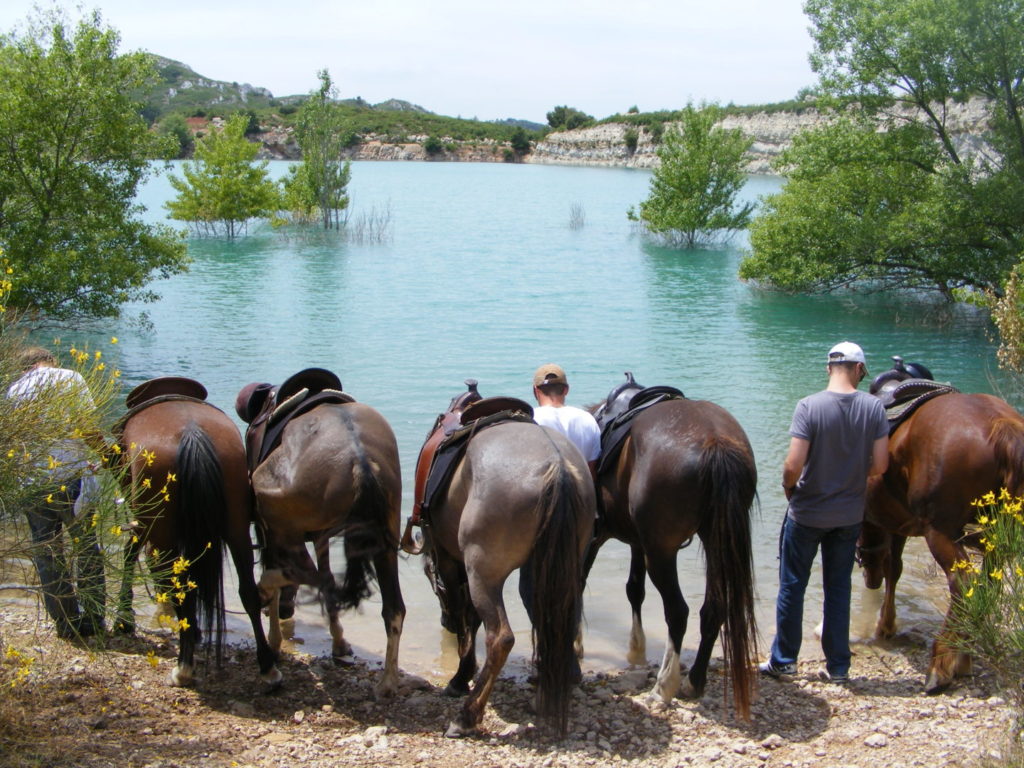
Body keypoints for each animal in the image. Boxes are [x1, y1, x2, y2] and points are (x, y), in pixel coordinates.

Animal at [114, 377, 279, 687]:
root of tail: (192, 434)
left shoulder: (149, 531)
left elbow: (135, 556)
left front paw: (123, 618)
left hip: (162, 536)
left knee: (179, 589)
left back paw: (184, 667)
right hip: (237, 530)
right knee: (248, 593)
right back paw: (267, 667)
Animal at [237, 370, 405, 697]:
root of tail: (359, 458)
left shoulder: (273, 532)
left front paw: (274, 640)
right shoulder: (321, 536)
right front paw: (339, 643)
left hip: (279, 519)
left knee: (314, 578)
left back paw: (264, 589)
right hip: (385, 540)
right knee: (393, 609)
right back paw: (388, 681)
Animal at [414, 382, 594, 737]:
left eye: (434, 586)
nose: (444, 624)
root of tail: (557, 468)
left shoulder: (451, 562)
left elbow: (467, 618)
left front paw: (460, 678)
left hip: (484, 573)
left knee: (501, 638)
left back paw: (467, 716)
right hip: (554, 569)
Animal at [589, 373, 759, 719]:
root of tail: (715, 442)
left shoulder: (598, 539)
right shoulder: (637, 543)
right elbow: (634, 589)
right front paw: (636, 650)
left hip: (662, 553)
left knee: (678, 611)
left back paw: (664, 686)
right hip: (714, 542)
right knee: (713, 610)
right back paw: (693, 681)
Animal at [858, 372, 1024, 693]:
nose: (869, 581)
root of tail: (1001, 427)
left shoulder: (898, 526)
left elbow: (893, 568)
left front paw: (885, 626)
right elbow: (895, 569)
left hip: (941, 533)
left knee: (963, 583)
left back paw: (942, 663)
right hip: (996, 541)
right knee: (986, 586)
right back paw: (964, 657)